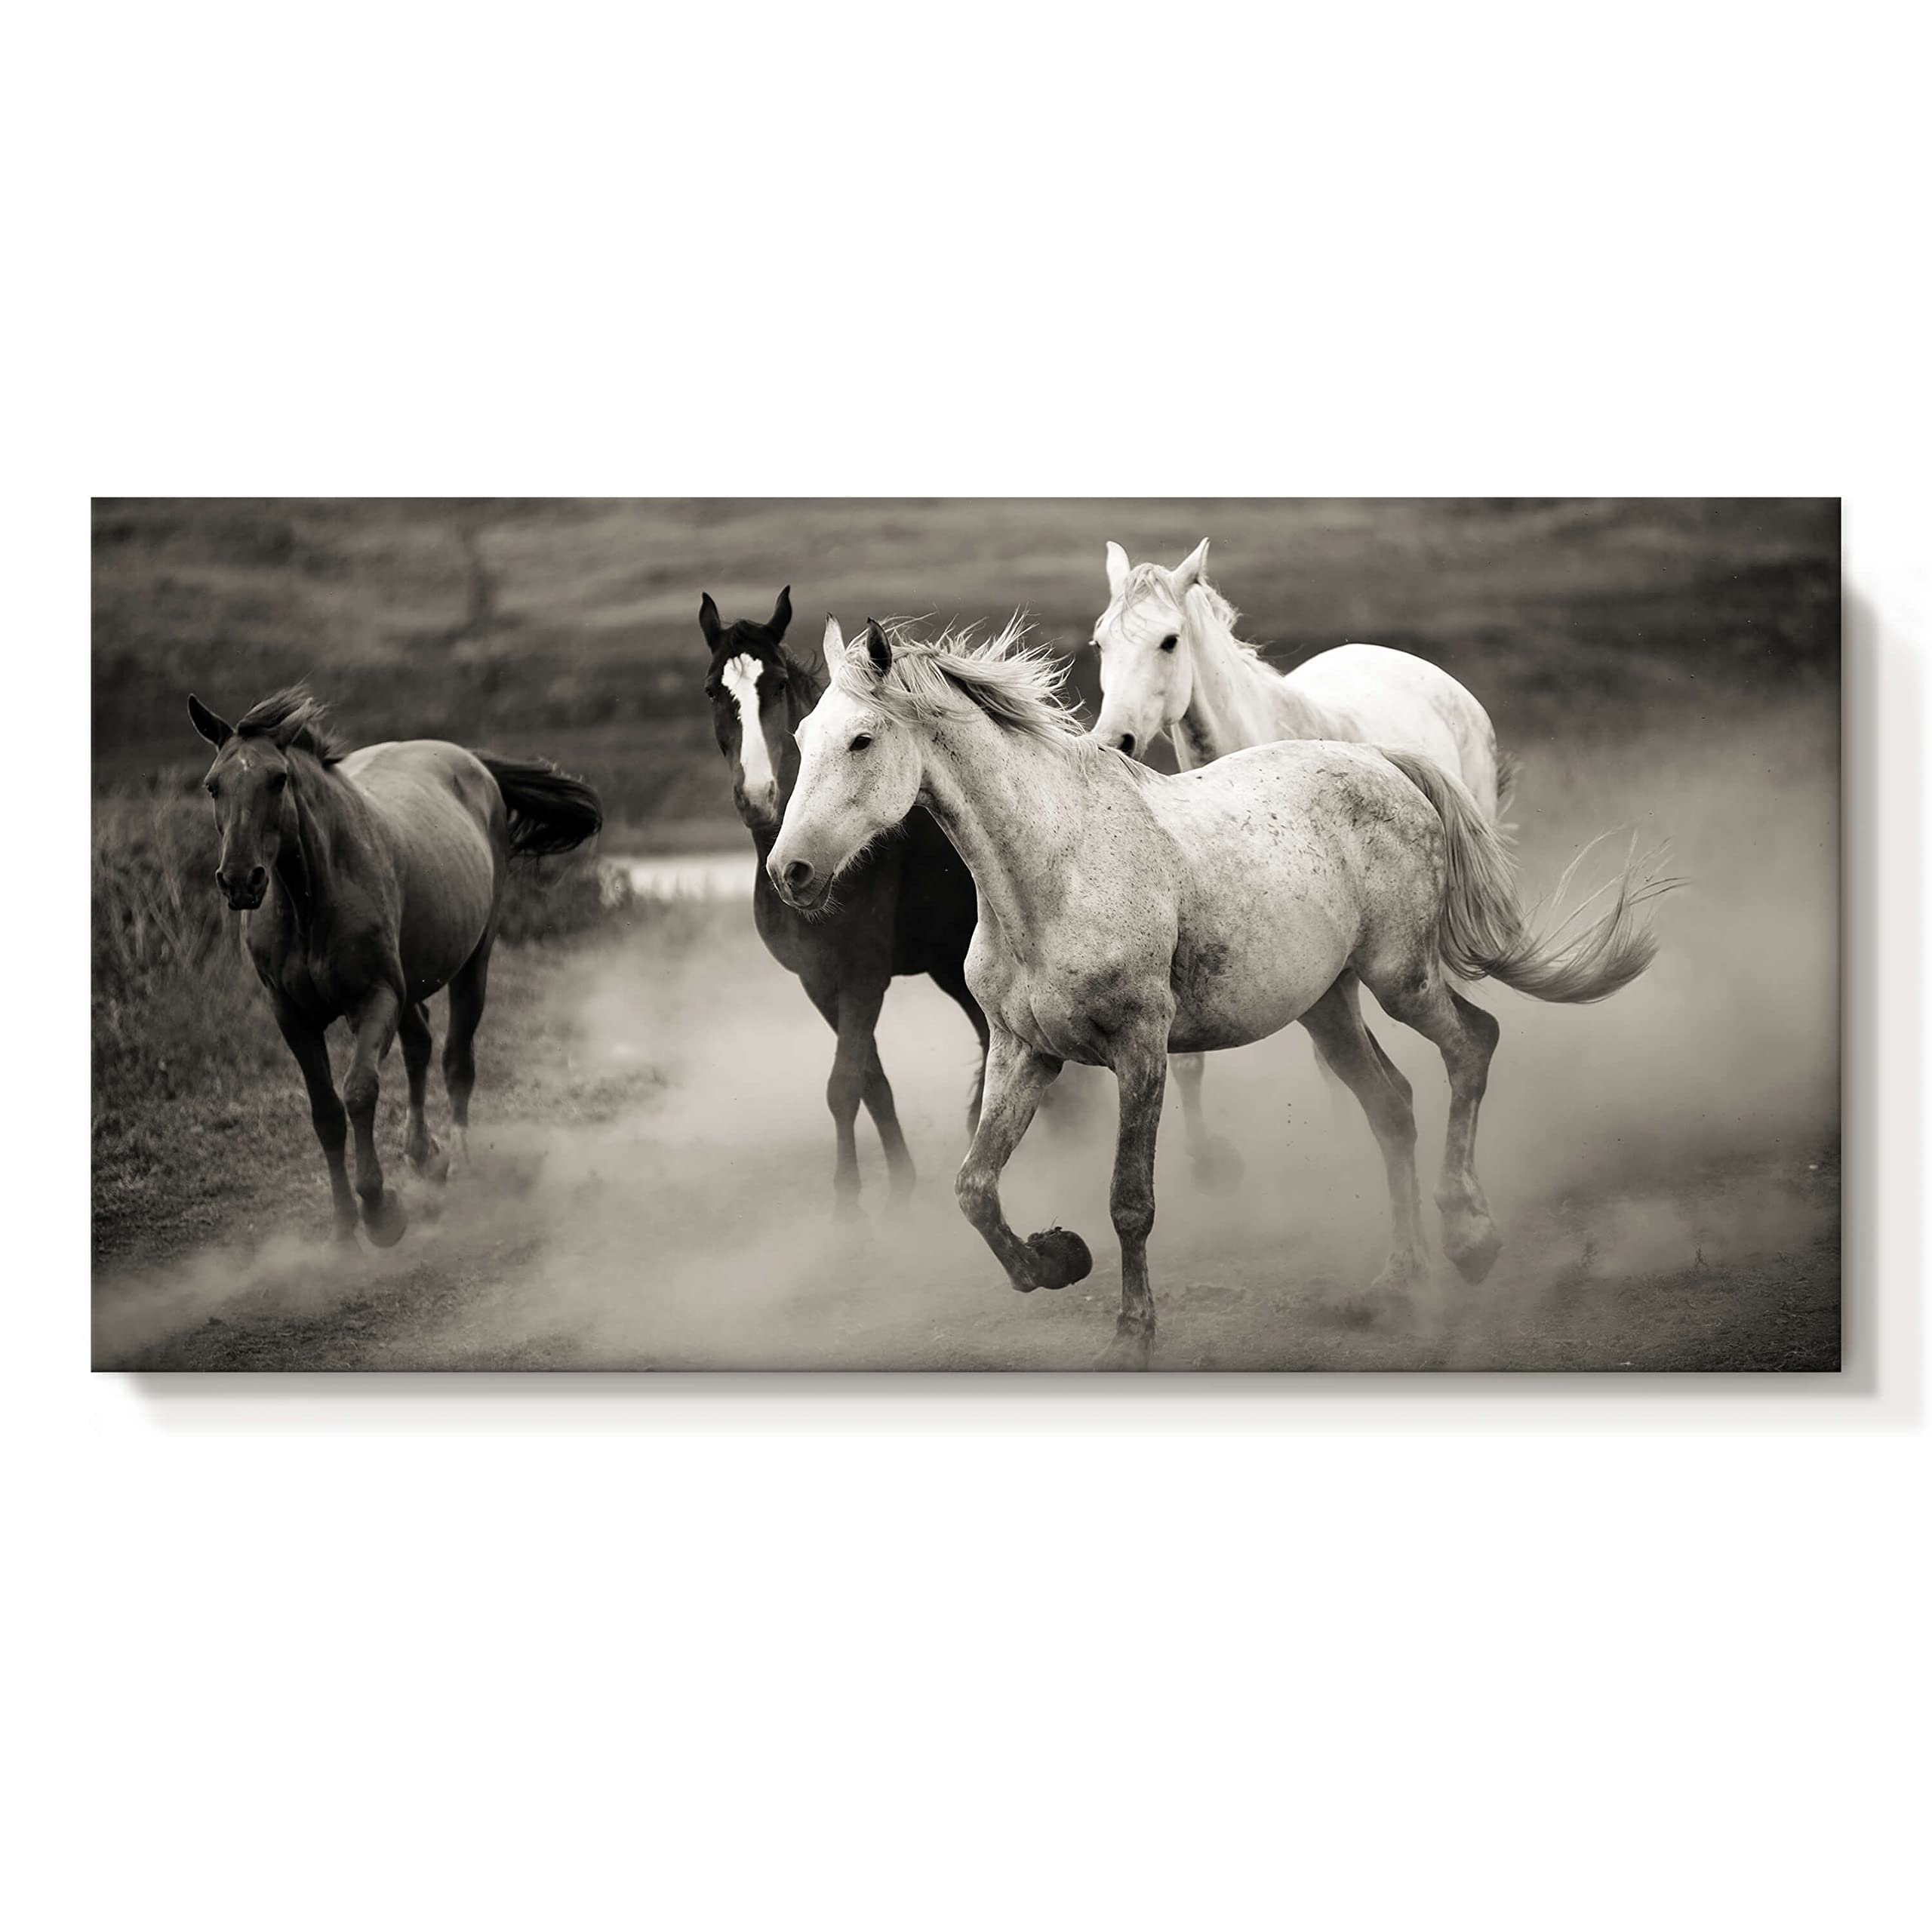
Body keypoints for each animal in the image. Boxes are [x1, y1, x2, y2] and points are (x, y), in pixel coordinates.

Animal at [187, 687, 602, 1247]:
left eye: (278, 779)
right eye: (213, 785)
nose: (239, 881)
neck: (310, 903)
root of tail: (471, 761)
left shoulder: (376, 998)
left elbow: (360, 1092)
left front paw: (381, 1211)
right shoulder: (291, 1016)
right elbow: (326, 1113)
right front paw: (344, 1228)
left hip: (473, 962)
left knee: (455, 1059)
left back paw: (461, 1161)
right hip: (411, 984)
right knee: (419, 1047)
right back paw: (425, 1156)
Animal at [699, 586, 988, 1212]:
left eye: (779, 684)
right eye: (713, 690)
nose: (758, 797)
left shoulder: (863, 978)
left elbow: (843, 1084)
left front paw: (848, 1205)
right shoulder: (819, 981)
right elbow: (871, 1083)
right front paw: (899, 1182)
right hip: (950, 966)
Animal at [768, 619, 1670, 1368]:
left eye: (861, 739)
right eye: (803, 738)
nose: (790, 872)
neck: (1049, 873)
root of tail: (1383, 761)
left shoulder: (1140, 1050)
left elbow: (1130, 1201)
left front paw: (1133, 1333)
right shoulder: (1023, 1052)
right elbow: (973, 1188)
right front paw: (1057, 1259)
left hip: (1401, 976)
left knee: (1472, 1045)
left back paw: (1471, 1237)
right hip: (1328, 1008)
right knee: (1392, 1106)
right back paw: (1398, 1280)